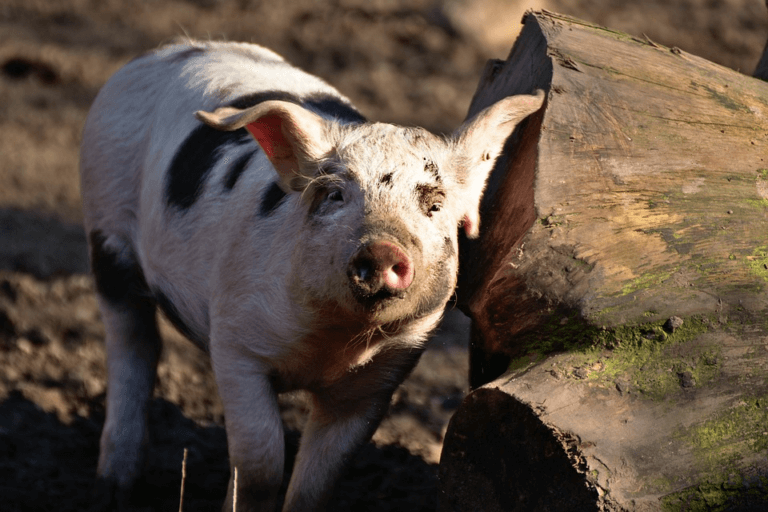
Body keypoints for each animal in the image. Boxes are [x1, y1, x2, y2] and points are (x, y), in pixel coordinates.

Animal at [79, 38, 544, 511]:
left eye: (433, 205)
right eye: (335, 195)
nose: (382, 248)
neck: (332, 345)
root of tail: (162, 53)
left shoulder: (377, 382)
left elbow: (317, 482)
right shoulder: (236, 346)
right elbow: (260, 464)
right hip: (106, 225)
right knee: (133, 343)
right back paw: (111, 490)